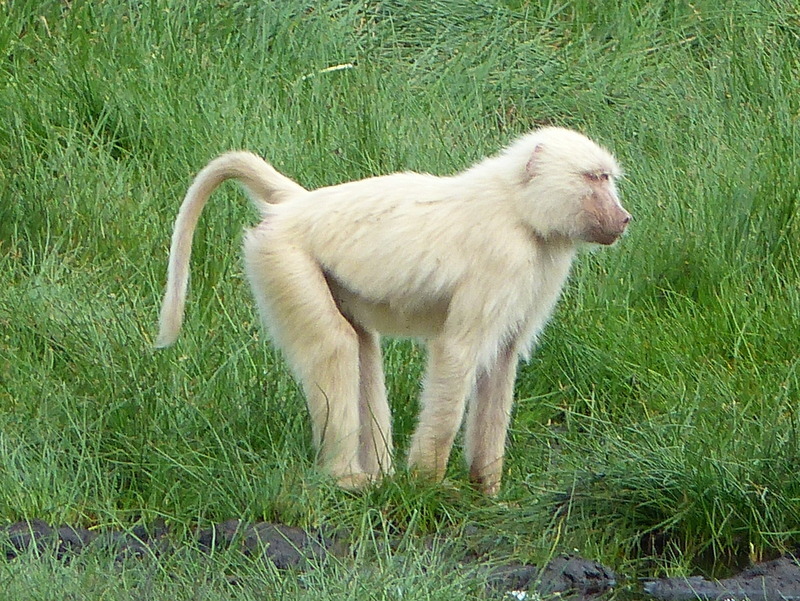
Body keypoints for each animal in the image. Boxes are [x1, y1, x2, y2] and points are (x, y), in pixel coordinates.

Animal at [156, 127, 631, 495]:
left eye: (607, 178)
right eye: (594, 177)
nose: (623, 218)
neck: (519, 207)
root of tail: (297, 205)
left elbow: (501, 360)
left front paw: (488, 491)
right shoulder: (504, 257)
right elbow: (458, 353)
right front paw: (426, 484)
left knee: (361, 346)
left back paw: (379, 477)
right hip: (282, 256)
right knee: (336, 346)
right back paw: (348, 479)